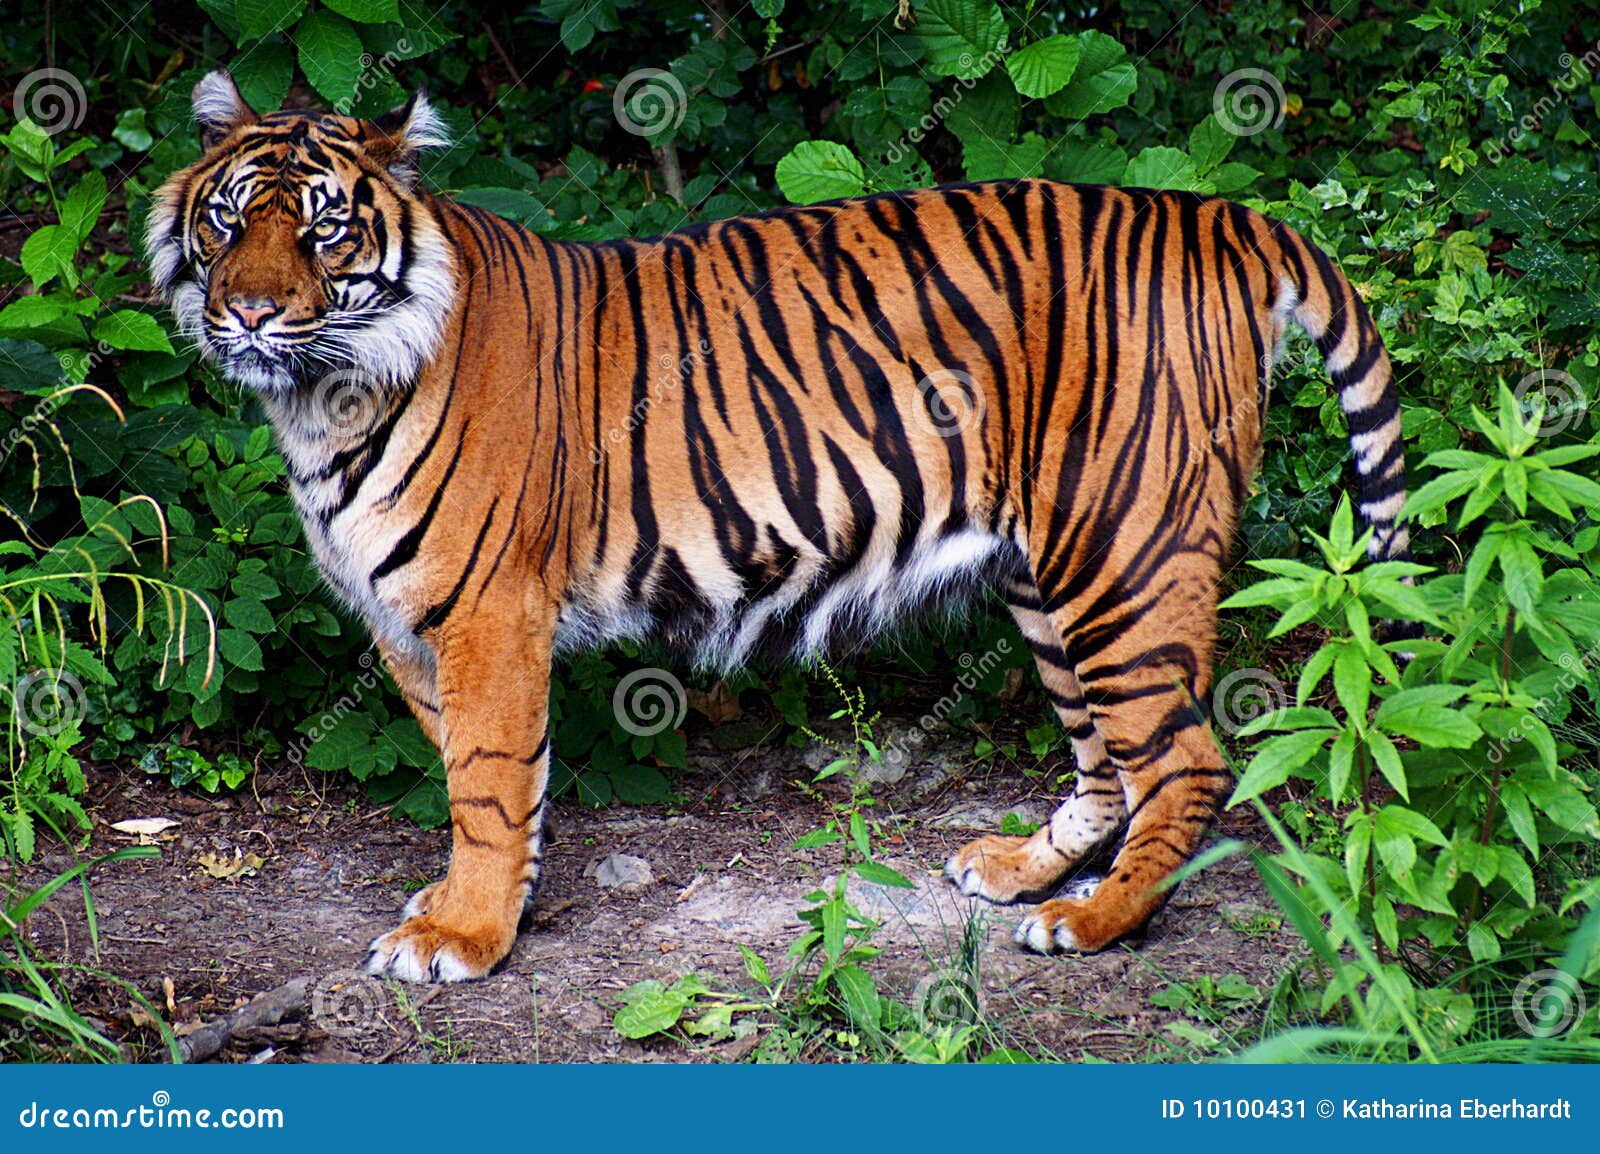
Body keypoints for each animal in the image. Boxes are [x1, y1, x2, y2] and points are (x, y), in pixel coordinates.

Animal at [145, 72, 1410, 982]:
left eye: (324, 234)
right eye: (228, 221)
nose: (247, 310)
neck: (323, 396)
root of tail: (1217, 217)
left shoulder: (486, 613)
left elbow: (489, 784)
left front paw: (461, 936)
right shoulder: (406, 620)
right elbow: (473, 771)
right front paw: (477, 905)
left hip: (1122, 554)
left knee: (1187, 759)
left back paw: (1095, 921)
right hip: (1051, 575)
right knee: (1109, 754)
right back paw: (1024, 872)